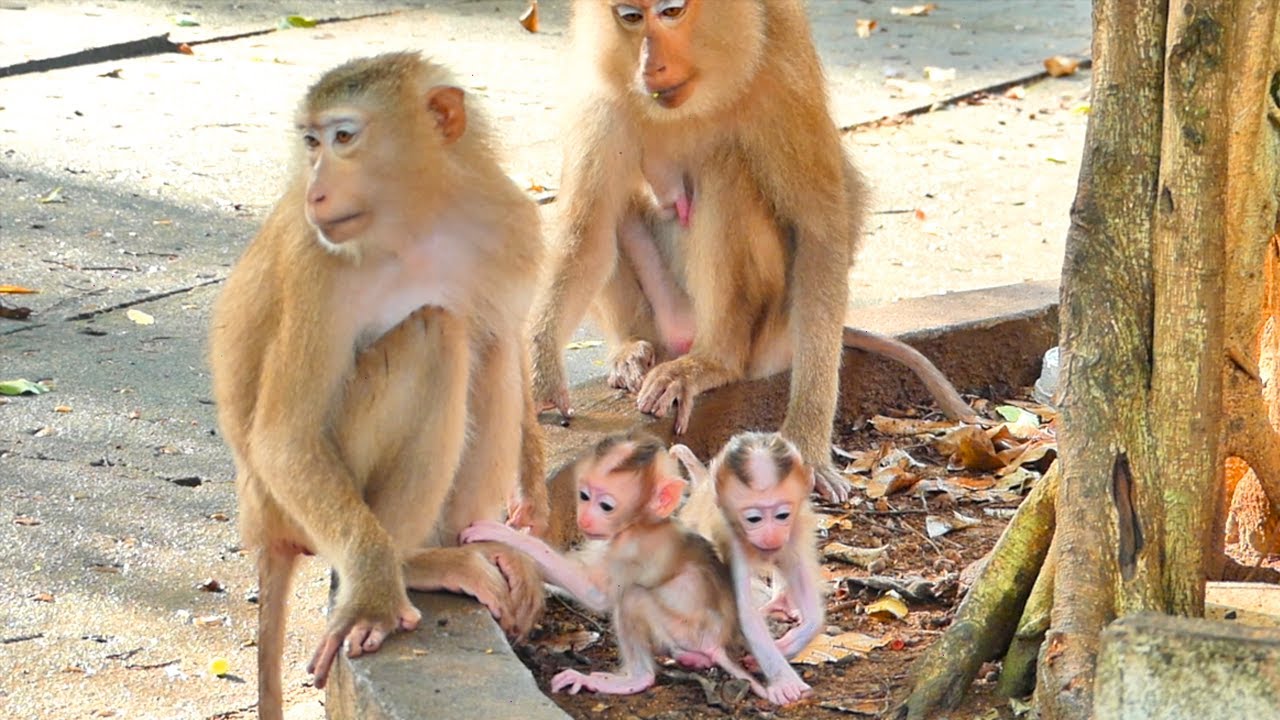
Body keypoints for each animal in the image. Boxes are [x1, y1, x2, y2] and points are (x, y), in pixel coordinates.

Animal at [208, 53, 547, 720]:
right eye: (311, 143)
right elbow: (286, 435)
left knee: (489, 340)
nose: (315, 190)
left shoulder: (510, 224)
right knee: (438, 334)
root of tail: (260, 525)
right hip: (295, 511)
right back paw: (409, 563)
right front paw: (370, 596)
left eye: (343, 137)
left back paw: (466, 541)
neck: (418, 224)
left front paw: (534, 493)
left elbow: (512, 341)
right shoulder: (317, 264)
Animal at [461, 431, 811, 705]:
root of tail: (718, 643)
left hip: (687, 630)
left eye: (605, 505)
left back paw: (635, 679)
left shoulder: (633, 548)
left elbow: (597, 593)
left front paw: (506, 536)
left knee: (632, 598)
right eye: (584, 496)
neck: (640, 523)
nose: (586, 518)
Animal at [528, 0, 976, 505]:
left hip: (768, 331)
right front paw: (540, 380)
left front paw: (807, 446)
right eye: (630, 17)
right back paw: (632, 348)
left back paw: (714, 361)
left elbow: (820, 229)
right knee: (610, 211)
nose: (649, 66)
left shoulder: (782, 75)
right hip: (661, 315)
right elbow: (587, 230)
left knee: (728, 167)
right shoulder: (604, 89)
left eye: (671, 11)